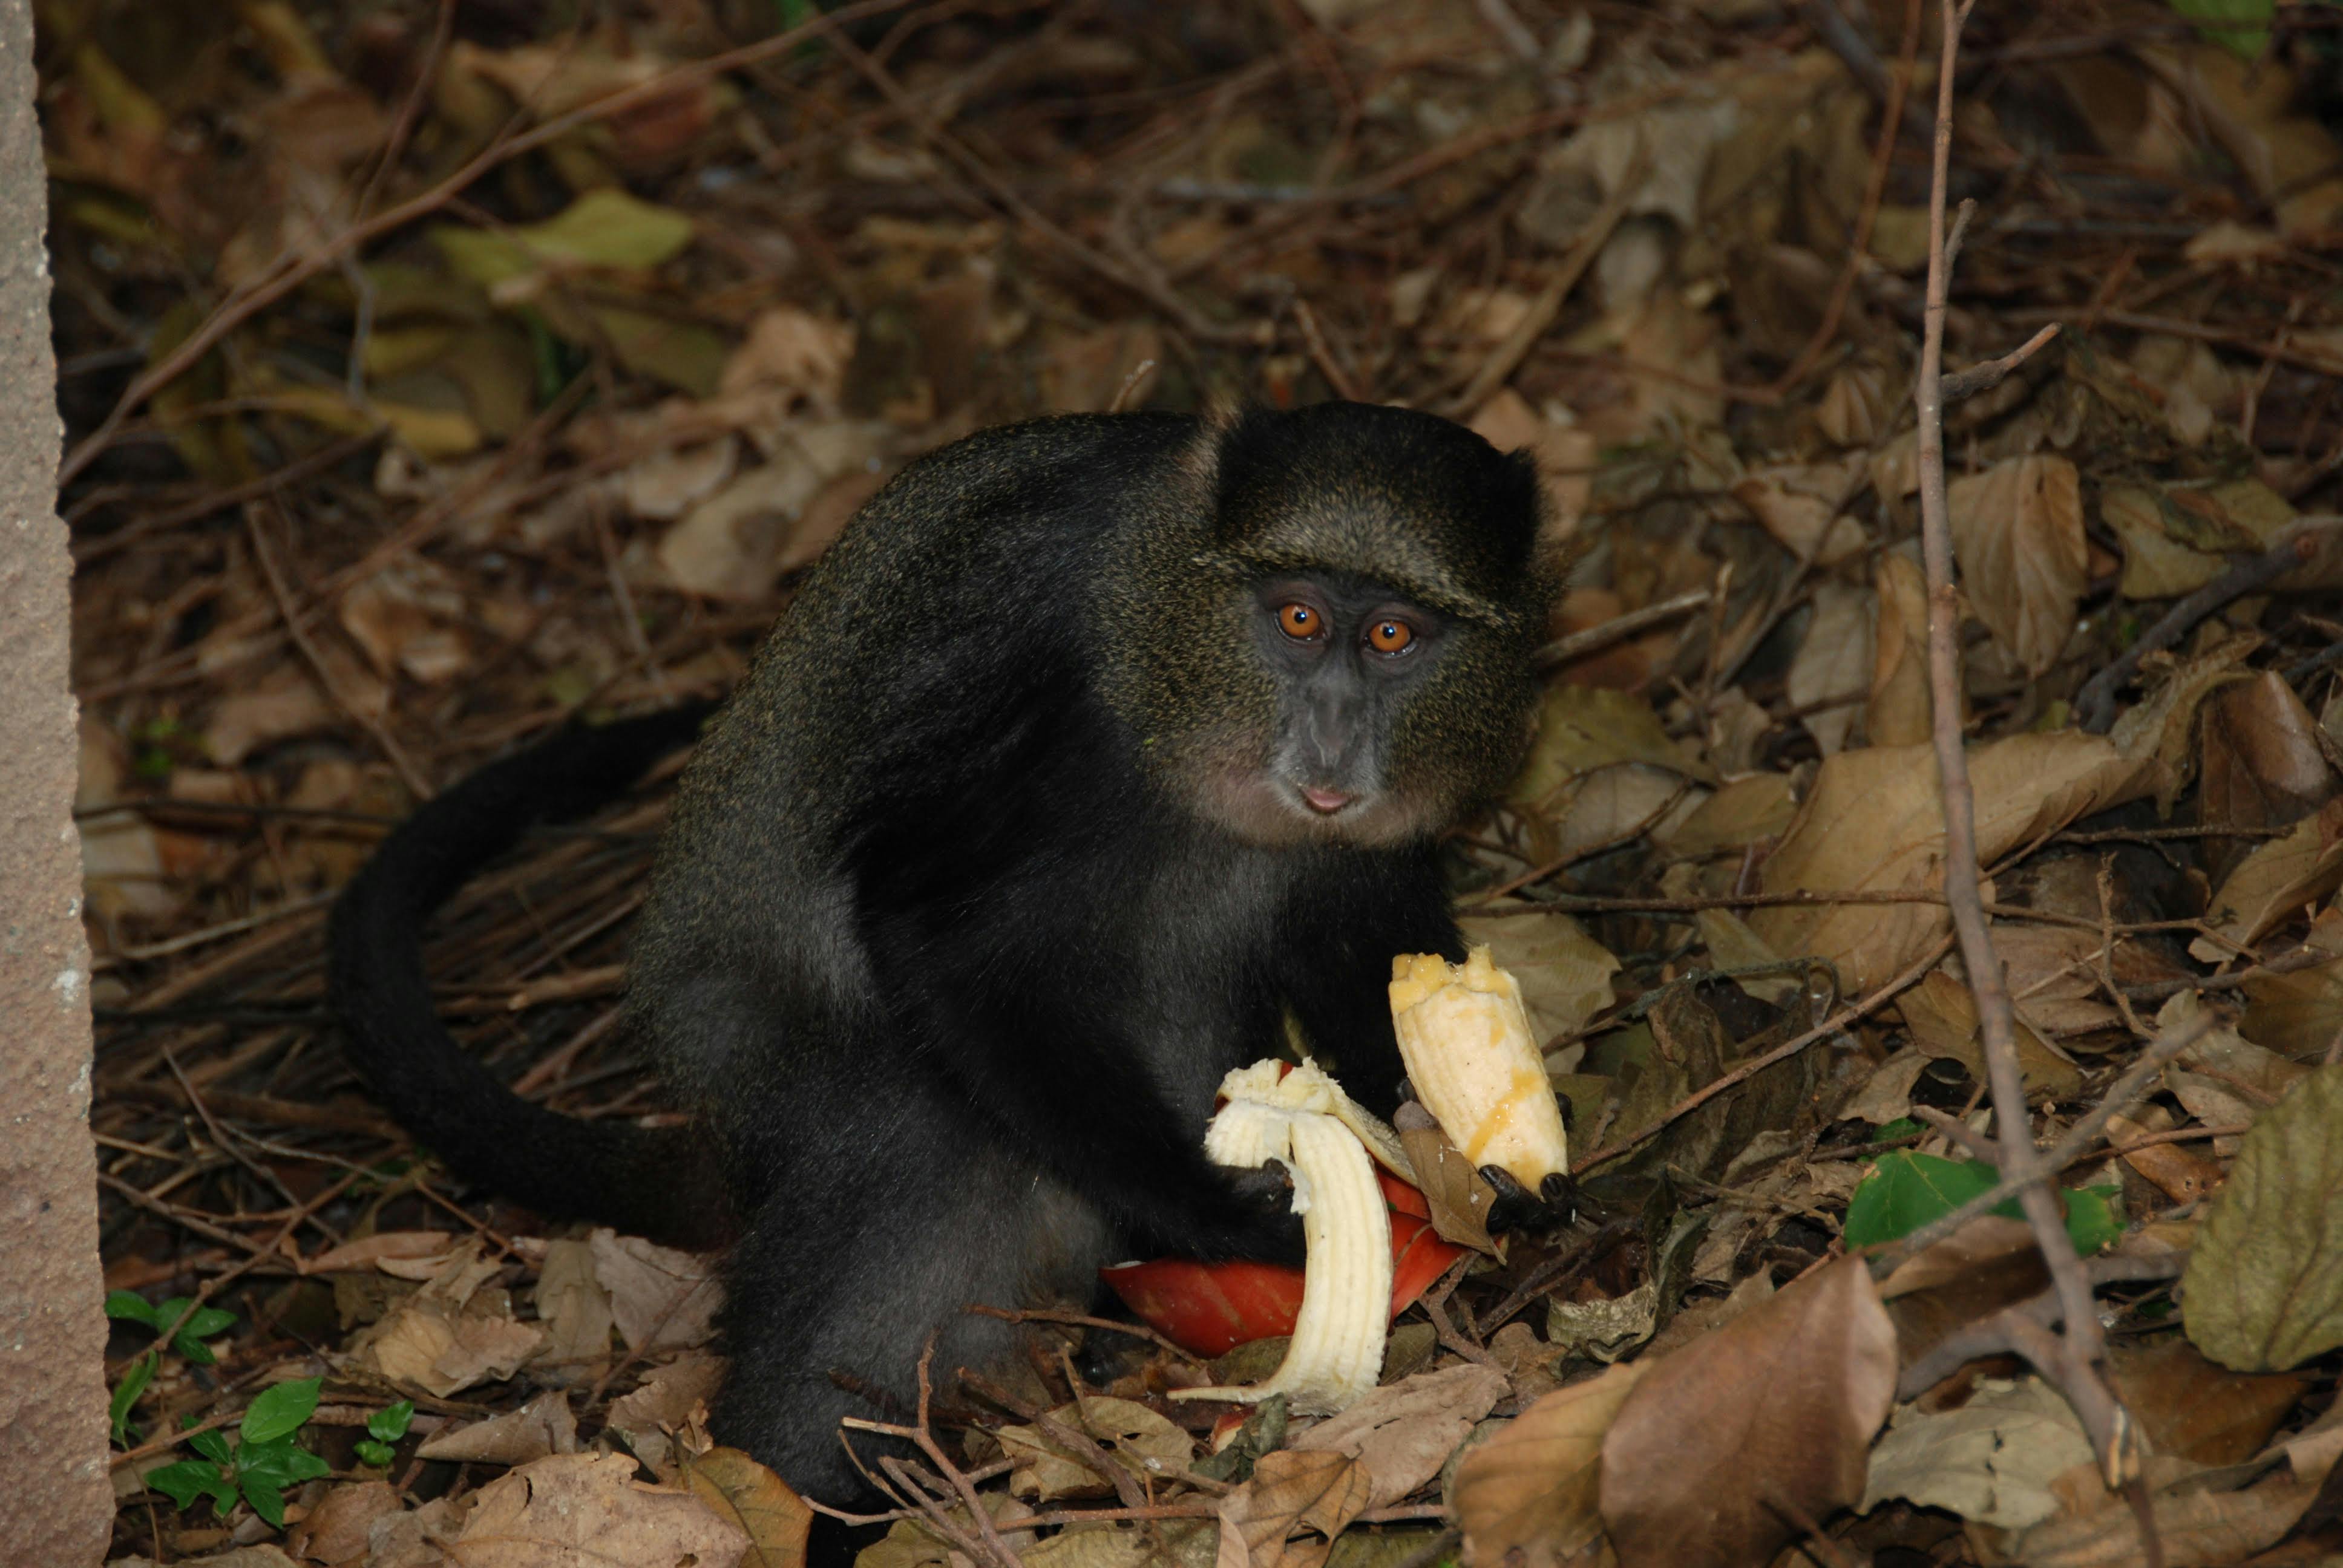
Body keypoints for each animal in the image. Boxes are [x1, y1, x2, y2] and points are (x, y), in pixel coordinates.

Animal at [330, 400, 1563, 1505]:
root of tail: (723, 1127)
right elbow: (943, 943)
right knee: (924, 1129)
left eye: (1395, 635)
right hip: (794, 1081)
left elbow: (1362, 935)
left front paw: (1465, 1152)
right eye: (1299, 620)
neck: (1161, 614)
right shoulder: (1039, 689)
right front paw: (1208, 1212)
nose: (1334, 734)